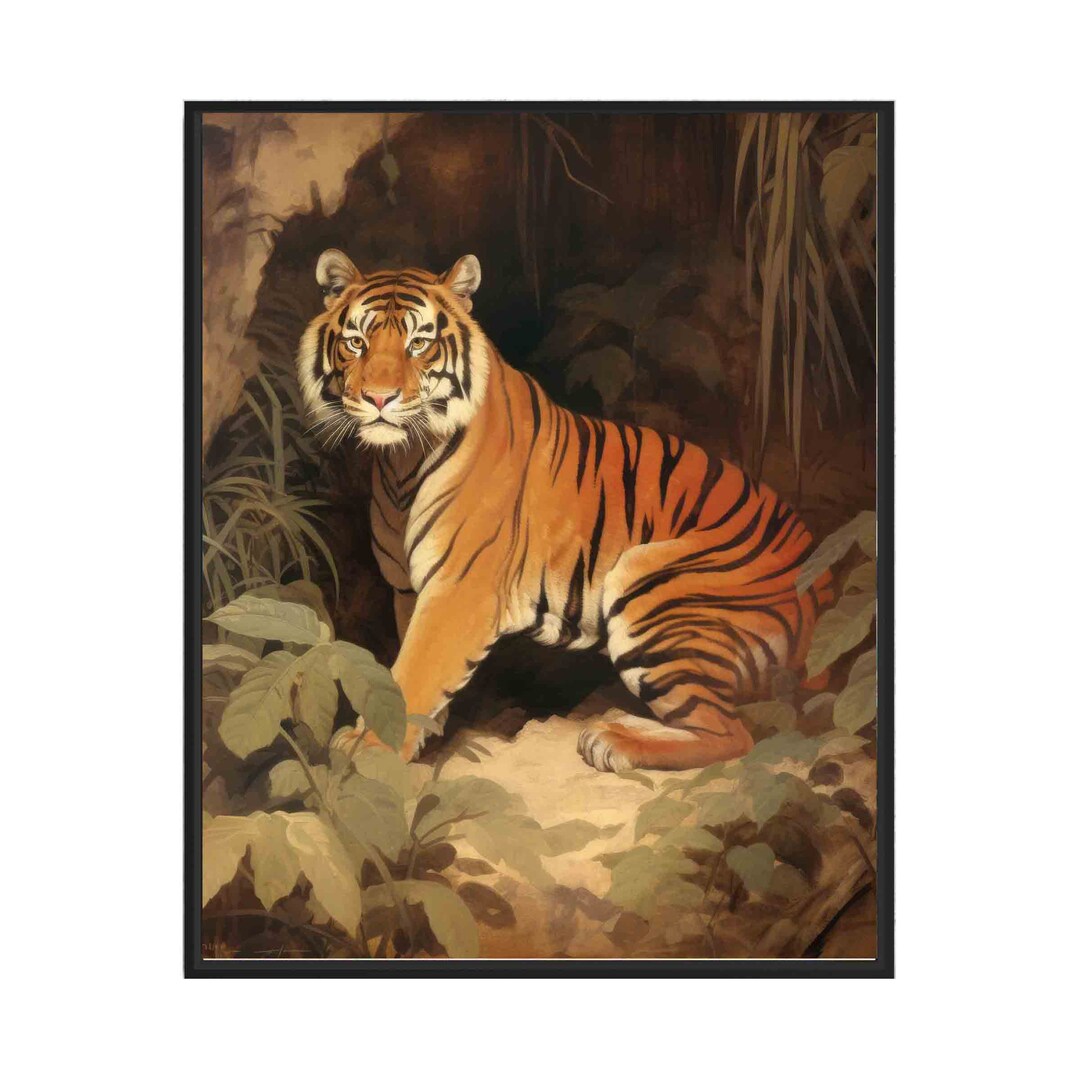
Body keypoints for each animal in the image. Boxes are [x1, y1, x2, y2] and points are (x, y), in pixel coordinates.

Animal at [296, 248, 833, 772]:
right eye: (356, 343)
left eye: (418, 344)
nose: (378, 398)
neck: (401, 462)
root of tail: (822, 579)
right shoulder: (408, 590)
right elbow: (402, 679)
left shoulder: (458, 590)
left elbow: (414, 676)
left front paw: (372, 756)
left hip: (651, 586)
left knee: (731, 734)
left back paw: (613, 741)